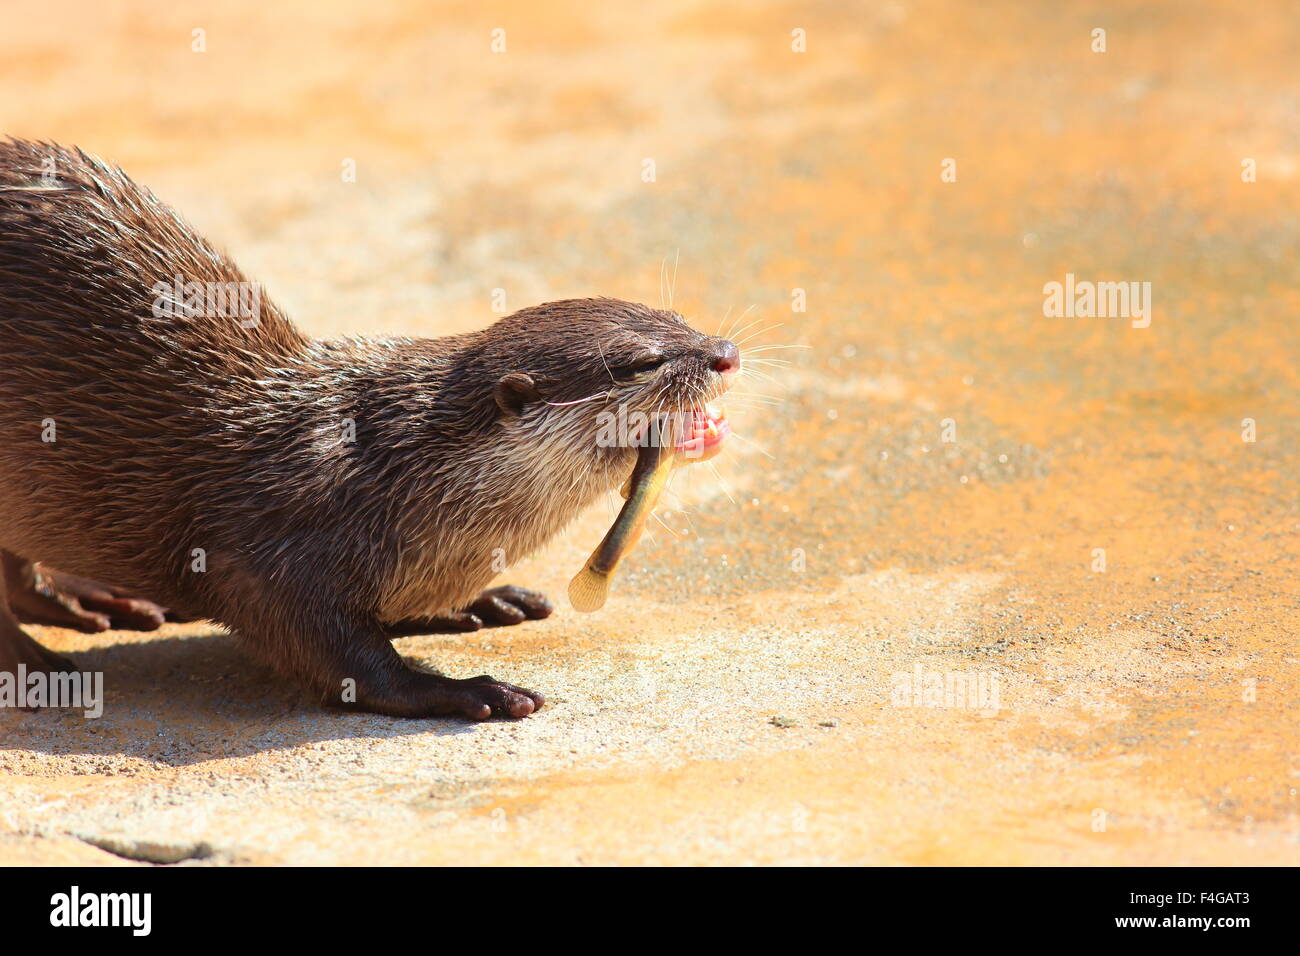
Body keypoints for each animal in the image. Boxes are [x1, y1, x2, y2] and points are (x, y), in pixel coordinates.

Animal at [0, 139, 740, 719]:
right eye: (640, 361)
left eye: (679, 317)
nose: (725, 353)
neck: (398, 473)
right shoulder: (274, 545)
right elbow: (338, 657)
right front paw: (468, 691)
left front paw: (482, 602)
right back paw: (38, 668)